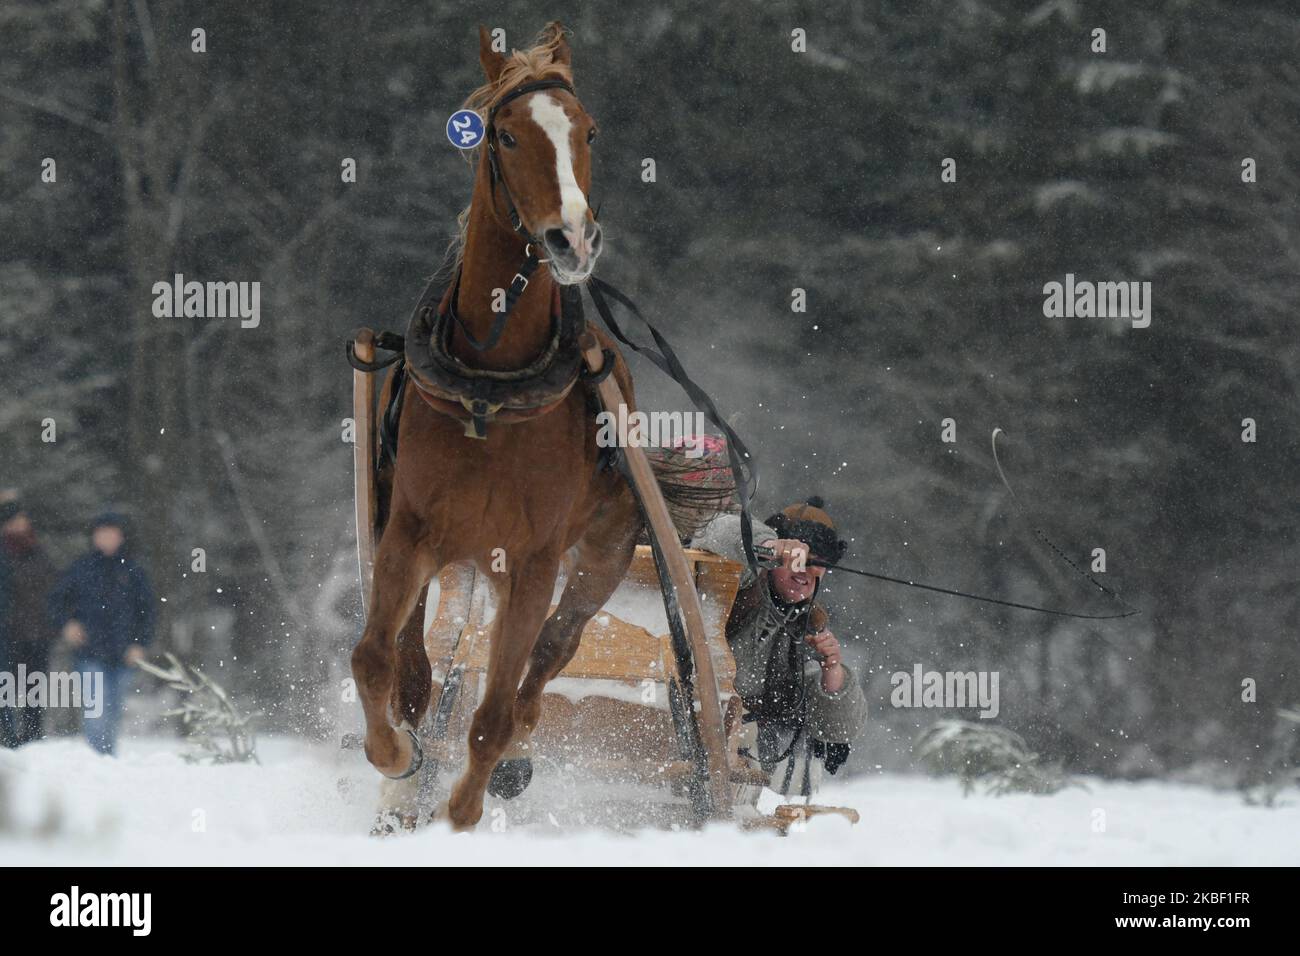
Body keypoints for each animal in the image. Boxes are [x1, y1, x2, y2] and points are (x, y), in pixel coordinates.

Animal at [351, 22, 645, 831]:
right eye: (506, 136)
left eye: (588, 132)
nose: (573, 238)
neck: (491, 391)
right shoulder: (409, 533)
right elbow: (376, 660)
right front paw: (396, 761)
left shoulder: (535, 563)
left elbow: (494, 714)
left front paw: (462, 811)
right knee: (420, 666)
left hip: (603, 557)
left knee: (546, 663)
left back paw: (517, 747)